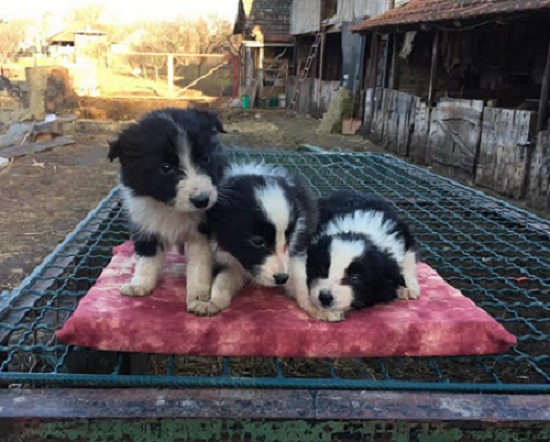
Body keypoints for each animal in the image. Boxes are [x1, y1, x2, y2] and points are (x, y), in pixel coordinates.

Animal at [108, 108, 229, 312]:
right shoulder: (145, 223)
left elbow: (199, 264)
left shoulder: (202, 231)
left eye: (205, 159)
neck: (171, 208)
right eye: (165, 168)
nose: (202, 200)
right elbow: (147, 256)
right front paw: (140, 284)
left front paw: (198, 297)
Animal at [196, 162, 344, 322]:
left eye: (288, 236)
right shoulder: (226, 257)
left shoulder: (296, 249)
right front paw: (211, 302)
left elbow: (300, 280)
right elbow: (221, 281)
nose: (281, 278)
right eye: (257, 242)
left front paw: (317, 306)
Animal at [306, 189, 422, 318]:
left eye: (356, 278)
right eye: (321, 268)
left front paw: (408, 287)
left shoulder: (403, 234)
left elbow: (409, 257)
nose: (325, 298)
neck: (360, 230)